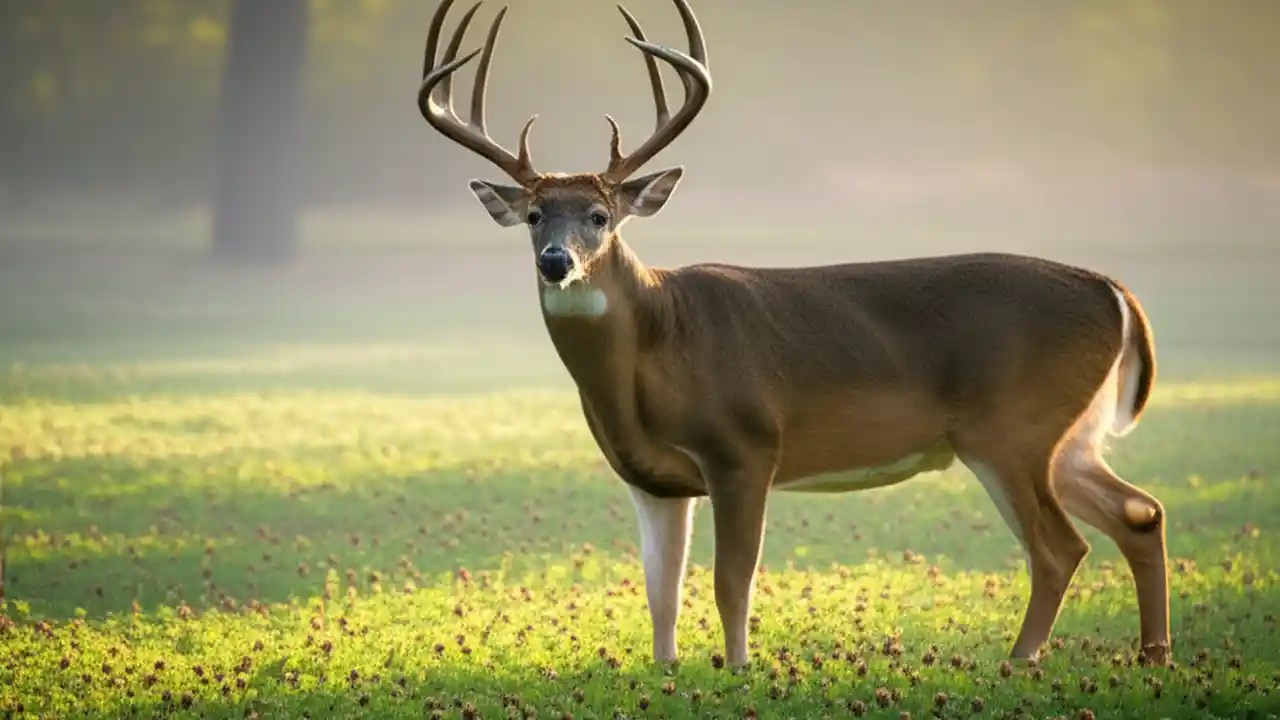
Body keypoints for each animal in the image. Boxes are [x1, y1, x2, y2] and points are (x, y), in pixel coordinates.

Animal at [416, 0, 1170, 669]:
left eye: (601, 216)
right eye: (535, 214)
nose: (556, 261)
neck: (655, 345)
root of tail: (1116, 292)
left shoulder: (745, 446)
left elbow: (731, 582)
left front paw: (738, 668)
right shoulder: (652, 479)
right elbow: (660, 592)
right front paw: (666, 670)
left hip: (1010, 429)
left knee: (1060, 546)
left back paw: (1019, 660)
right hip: (1066, 436)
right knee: (1140, 513)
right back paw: (1151, 655)